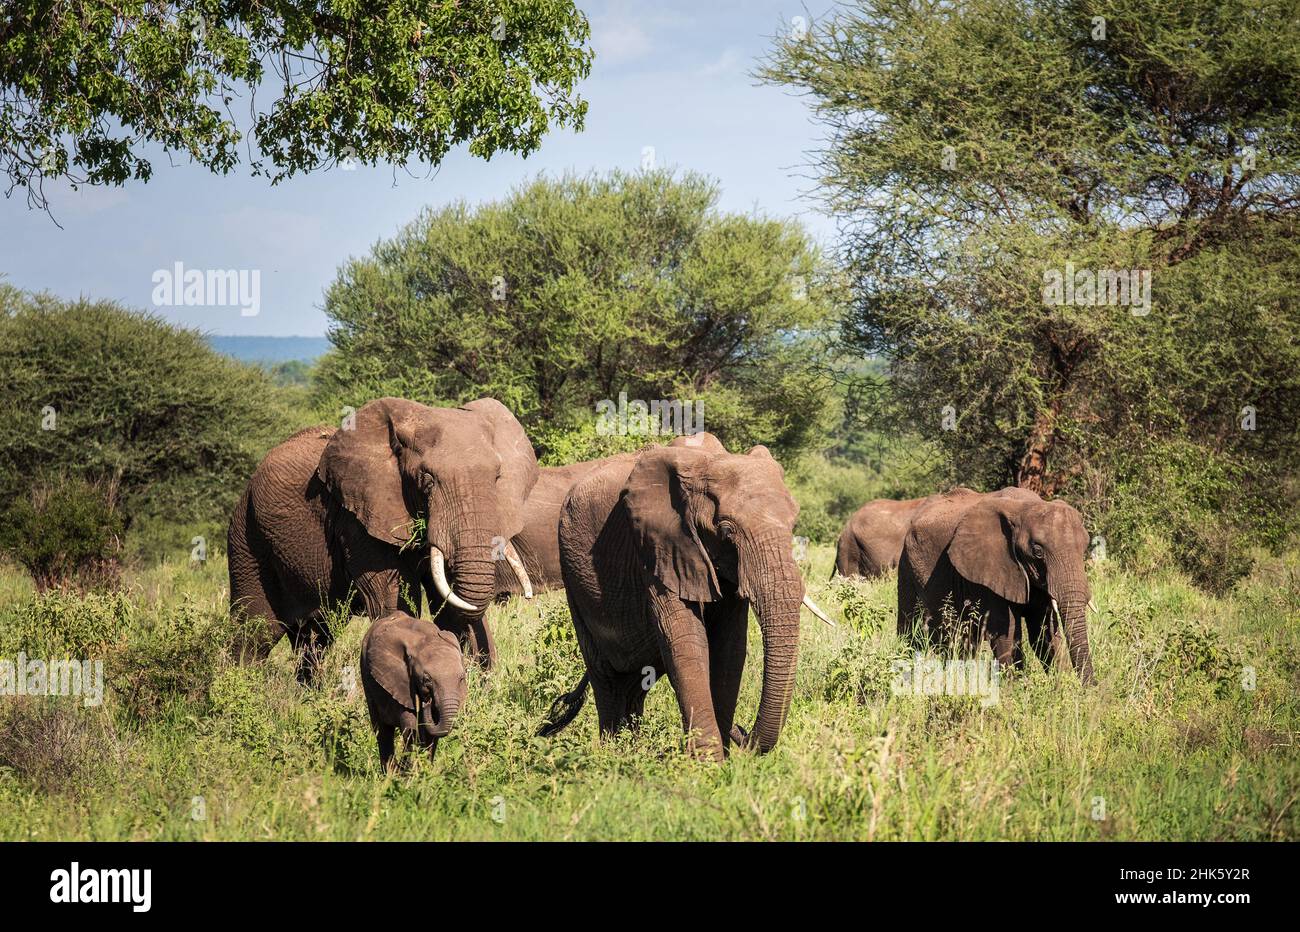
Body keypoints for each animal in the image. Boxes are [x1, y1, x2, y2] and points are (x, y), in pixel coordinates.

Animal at [226, 397, 538, 680]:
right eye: (427, 480)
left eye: (497, 478)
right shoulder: (357, 520)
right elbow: (395, 598)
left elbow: (447, 600)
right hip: (246, 537)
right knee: (255, 632)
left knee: (315, 637)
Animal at [360, 611, 467, 770]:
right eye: (427, 680)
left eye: (461, 679)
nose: (427, 701)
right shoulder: (400, 683)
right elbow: (411, 728)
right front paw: (411, 773)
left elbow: (431, 734)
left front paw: (425, 771)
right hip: (366, 676)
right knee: (382, 730)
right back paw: (391, 773)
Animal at [537, 441, 833, 761]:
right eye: (726, 531)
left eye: (793, 525)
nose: (742, 733)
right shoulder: (656, 548)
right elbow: (686, 642)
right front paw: (708, 764)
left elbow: (730, 646)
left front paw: (722, 759)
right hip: (573, 580)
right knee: (607, 679)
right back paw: (614, 755)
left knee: (634, 685)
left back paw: (631, 750)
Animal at [897, 486, 1094, 683]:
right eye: (1037, 552)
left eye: (1085, 548)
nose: (1092, 686)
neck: (1025, 507)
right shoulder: (989, 570)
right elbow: (1008, 634)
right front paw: (1015, 688)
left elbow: (1044, 633)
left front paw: (1061, 686)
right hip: (907, 566)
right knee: (915, 631)